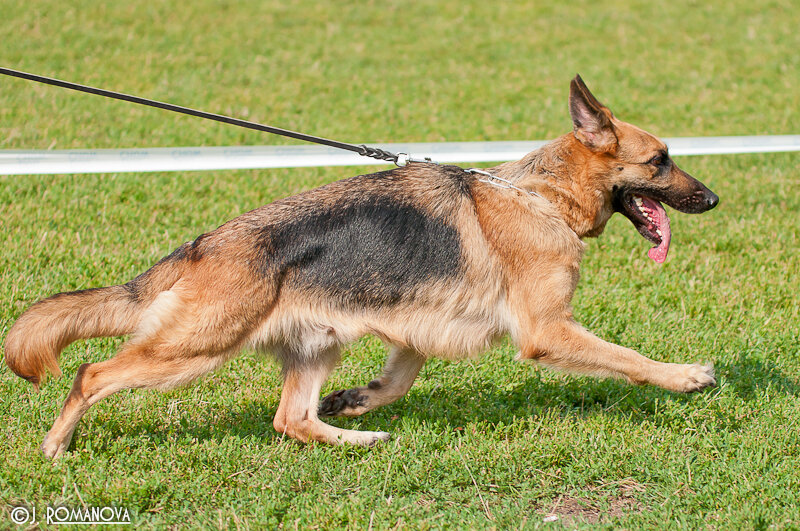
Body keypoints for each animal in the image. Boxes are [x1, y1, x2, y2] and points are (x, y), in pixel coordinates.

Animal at [4, 74, 720, 458]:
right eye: (660, 160)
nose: (713, 200)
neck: (542, 195)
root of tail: (204, 244)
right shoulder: (549, 332)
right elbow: (628, 357)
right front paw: (685, 377)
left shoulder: (418, 328)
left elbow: (397, 381)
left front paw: (360, 401)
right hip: (193, 350)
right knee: (94, 373)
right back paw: (55, 446)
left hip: (315, 345)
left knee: (290, 418)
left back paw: (359, 438)